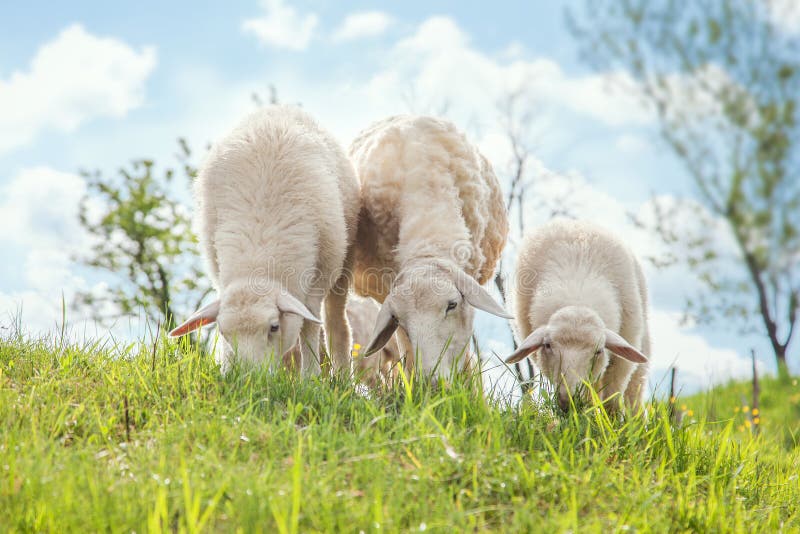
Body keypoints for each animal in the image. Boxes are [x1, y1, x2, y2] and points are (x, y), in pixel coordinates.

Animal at [168, 105, 360, 376]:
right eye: (223, 332)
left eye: (273, 327)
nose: (248, 378)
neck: (258, 253)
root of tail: (279, 108)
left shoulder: (317, 280)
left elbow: (310, 328)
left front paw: (310, 377)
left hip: (343, 263)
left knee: (336, 324)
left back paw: (342, 375)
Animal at [505, 219, 651, 413]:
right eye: (548, 345)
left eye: (599, 350)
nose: (568, 400)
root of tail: (577, 222)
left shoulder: (621, 363)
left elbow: (612, 400)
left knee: (634, 391)